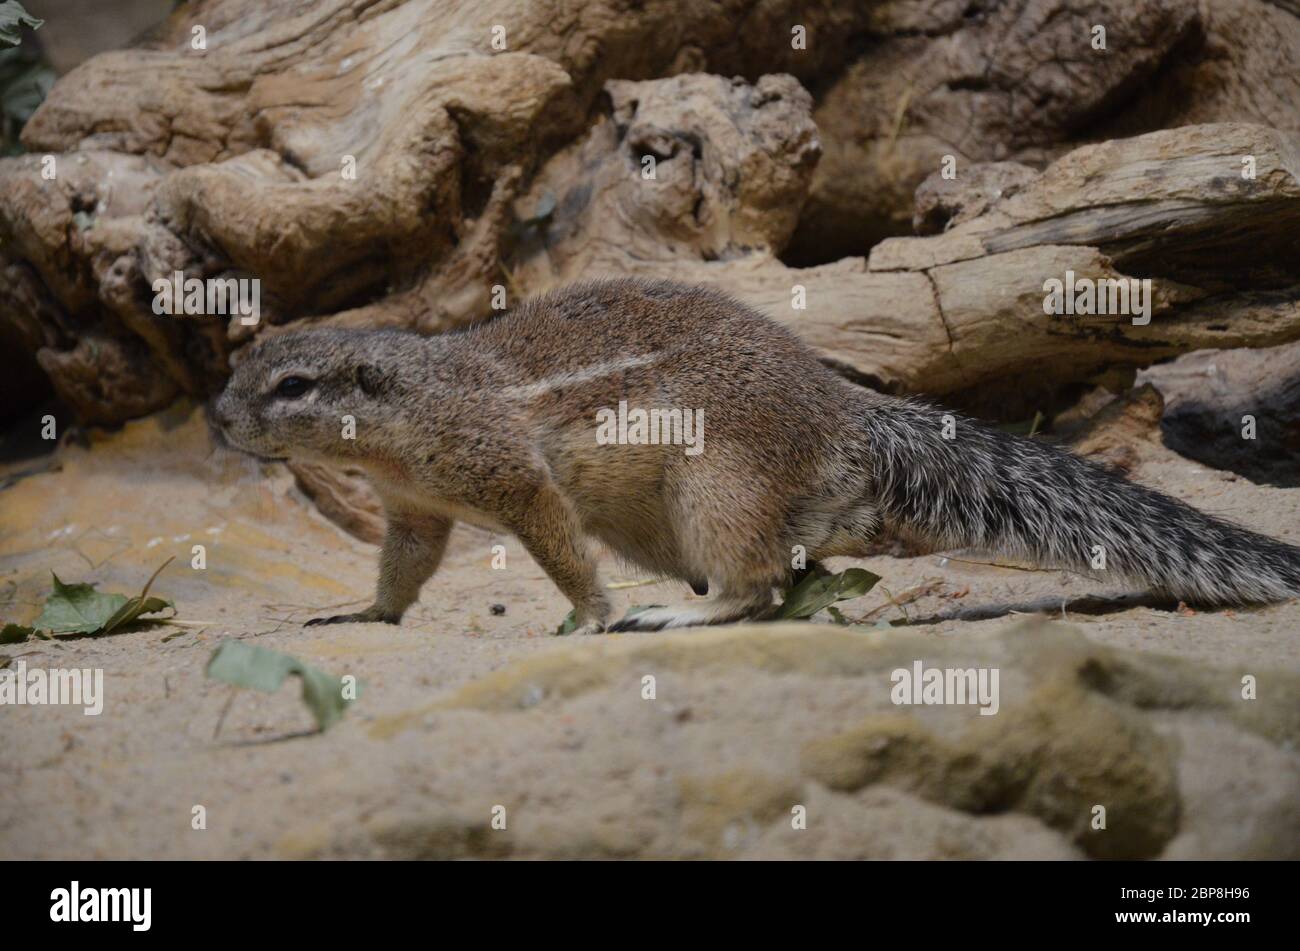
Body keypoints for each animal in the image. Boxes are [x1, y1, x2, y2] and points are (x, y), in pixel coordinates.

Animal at [212, 278, 1300, 632]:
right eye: (245, 363)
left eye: (293, 385)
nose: (219, 421)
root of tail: (842, 410)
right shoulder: (417, 508)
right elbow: (403, 569)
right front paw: (362, 612)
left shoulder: (508, 475)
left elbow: (558, 542)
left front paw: (591, 614)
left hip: (719, 487)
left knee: (755, 587)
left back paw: (669, 615)